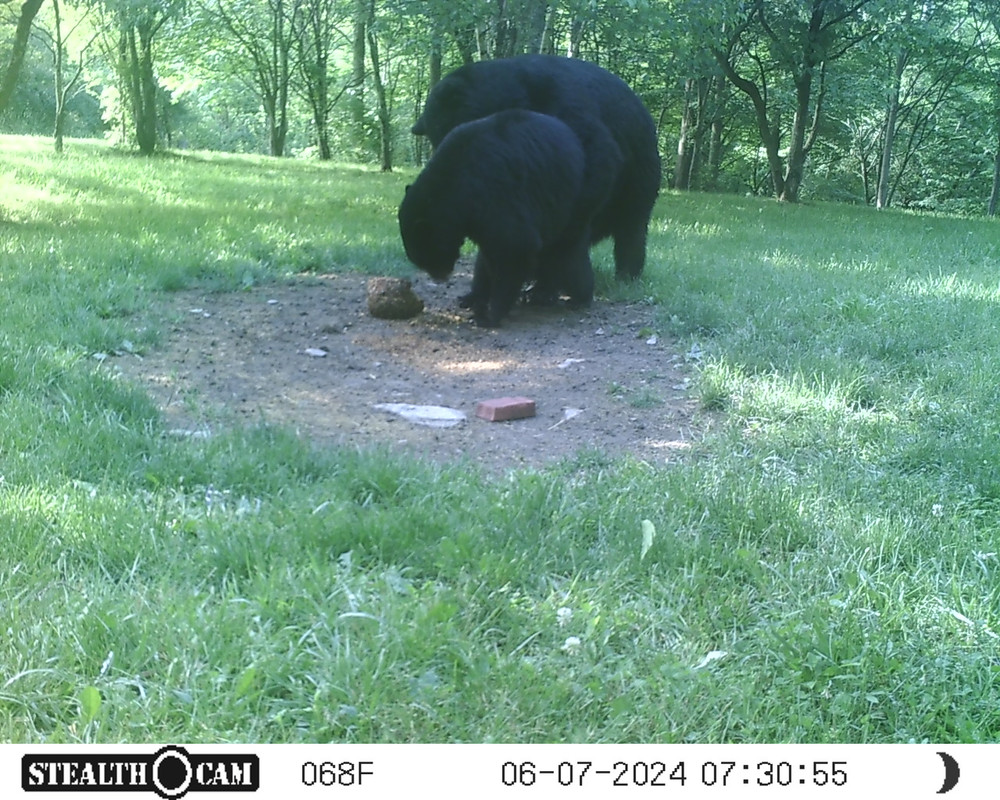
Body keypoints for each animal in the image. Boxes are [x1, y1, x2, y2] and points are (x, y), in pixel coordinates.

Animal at [398, 109, 592, 327]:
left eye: (427, 257)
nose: (440, 277)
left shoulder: (496, 195)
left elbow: (516, 247)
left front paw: (492, 312)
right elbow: (489, 255)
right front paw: (479, 299)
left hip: (573, 200)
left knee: (567, 253)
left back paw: (576, 295)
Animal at [411, 54, 661, 282]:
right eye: (436, 139)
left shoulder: (562, 100)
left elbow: (597, 155)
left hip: (639, 172)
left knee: (631, 225)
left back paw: (625, 272)